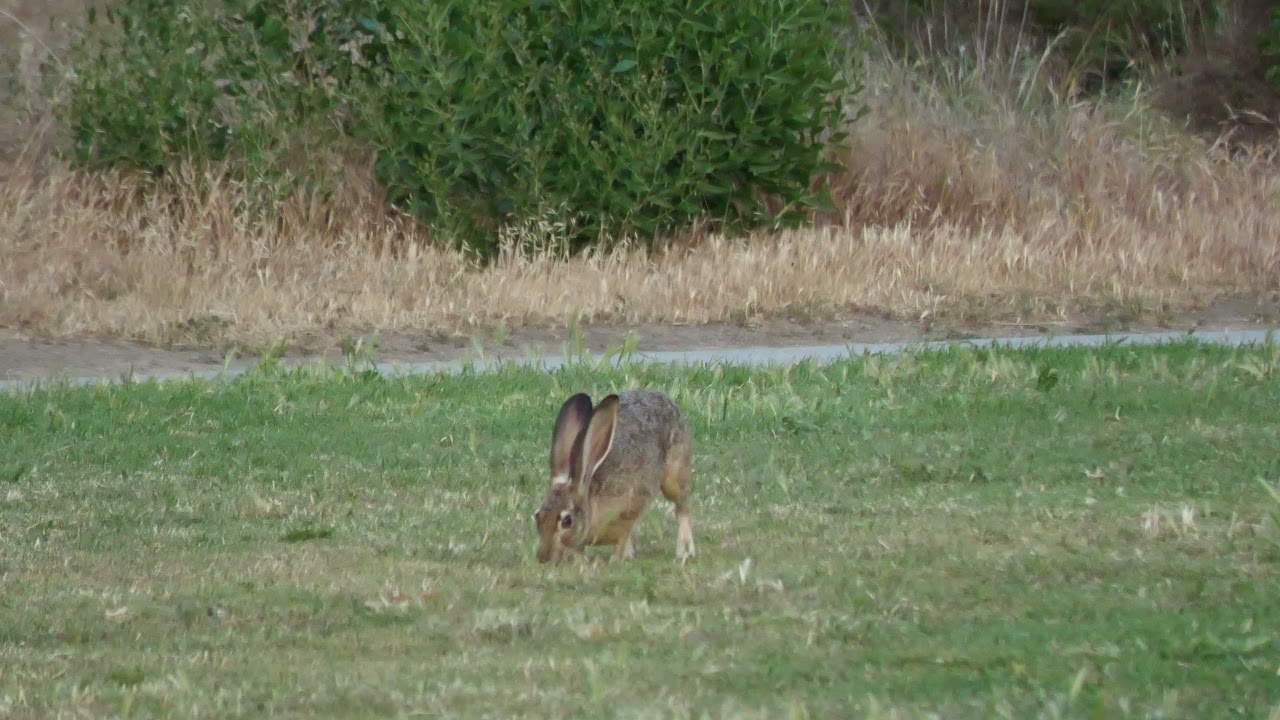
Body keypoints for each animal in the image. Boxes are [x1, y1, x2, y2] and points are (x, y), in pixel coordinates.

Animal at [533, 390, 695, 564]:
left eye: (567, 521)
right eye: (538, 516)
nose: (543, 557)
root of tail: (663, 399)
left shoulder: (628, 513)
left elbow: (621, 540)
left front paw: (615, 561)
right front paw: (580, 563)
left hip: (673, 478)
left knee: (682, 507)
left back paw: (685, 550)